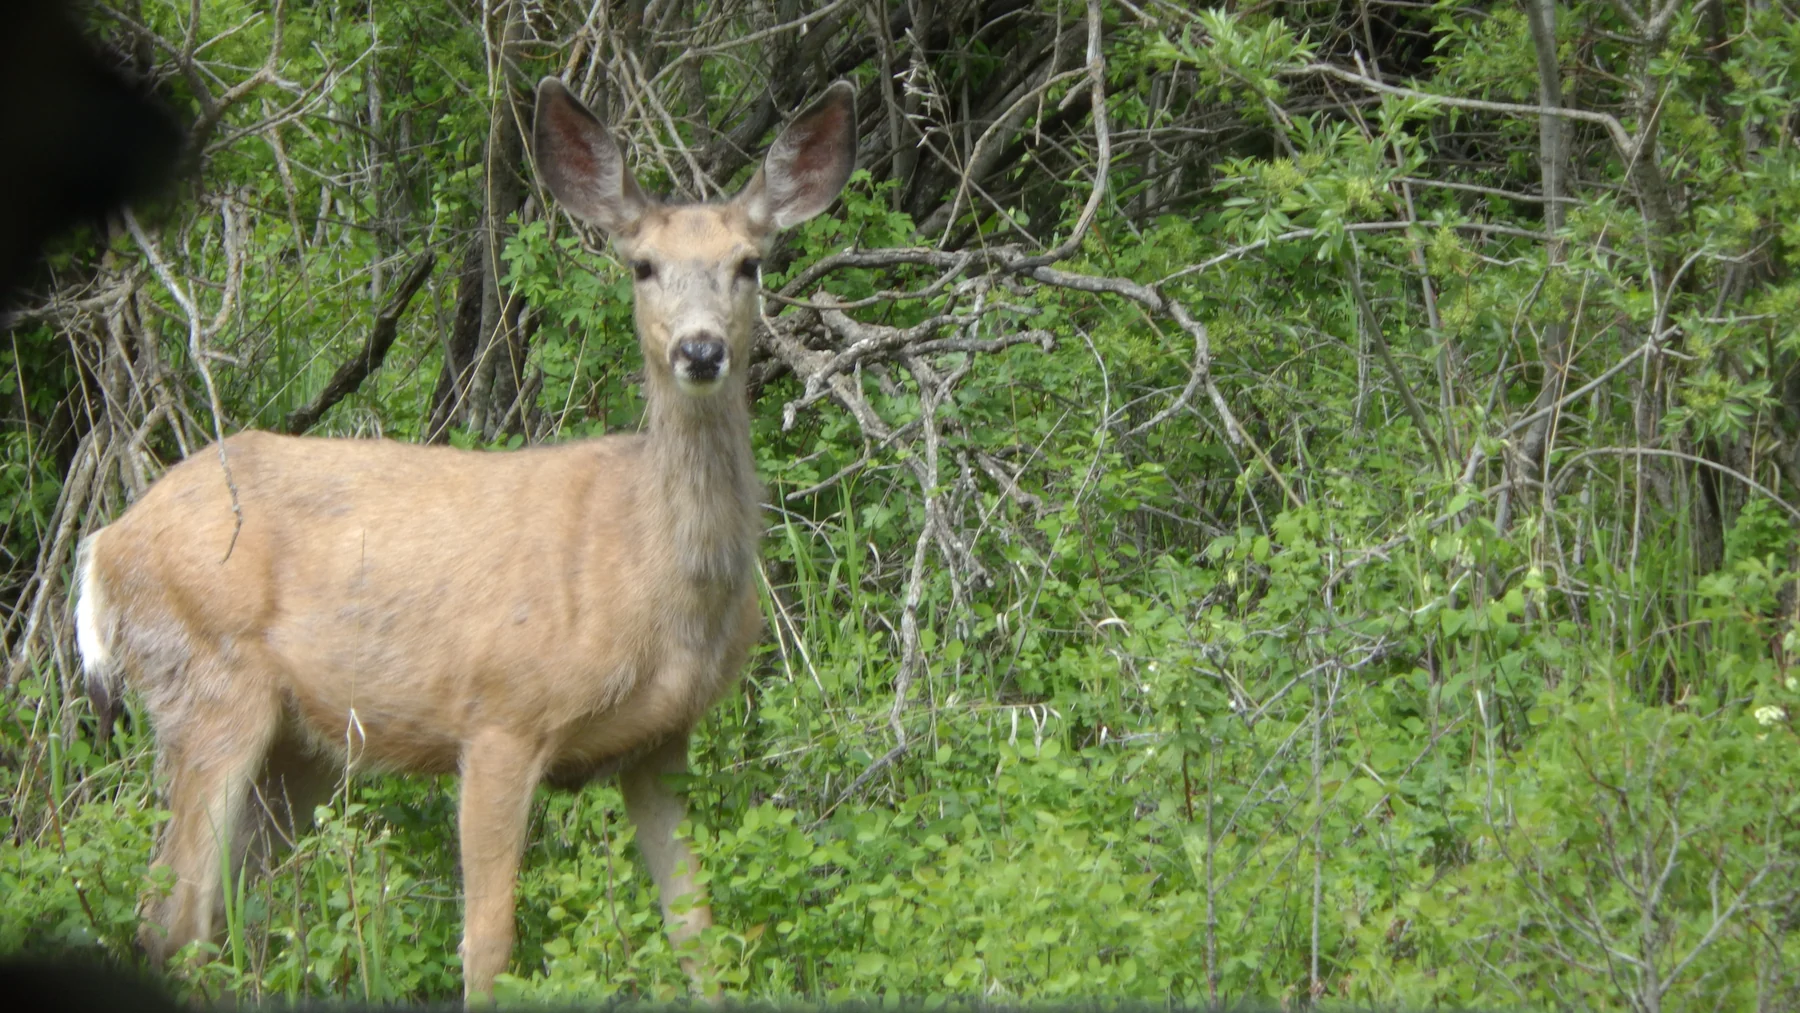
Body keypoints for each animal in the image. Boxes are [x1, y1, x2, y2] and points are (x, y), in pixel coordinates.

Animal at [73, 75, 857, 1002]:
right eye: (642, 264)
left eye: (749, 263)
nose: (700, 350)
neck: (650, 568)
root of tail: (104, 545)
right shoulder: (499, 714)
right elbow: (487, 941)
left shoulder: (661, 742)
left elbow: (697, 932)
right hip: (204, 679)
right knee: (175, 919)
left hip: (296, 743)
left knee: (239, 913)